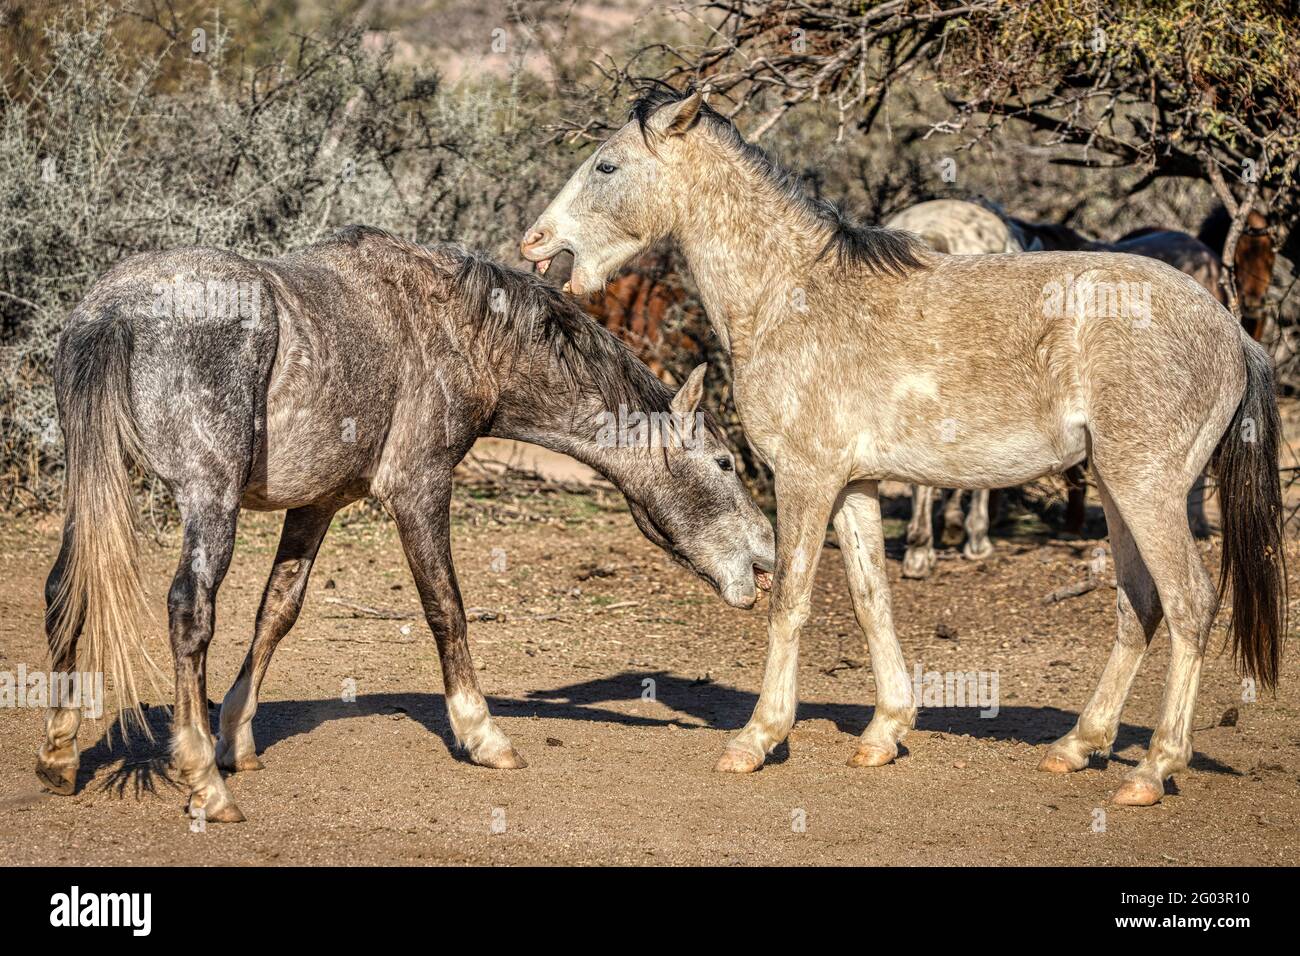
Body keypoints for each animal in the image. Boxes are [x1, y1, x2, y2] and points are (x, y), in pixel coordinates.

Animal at [38, 226, 775, 823]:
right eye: (723, 462)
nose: (769, 557)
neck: (454, 329)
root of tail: (116, 307)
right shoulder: (420, 490)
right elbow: (446, 609)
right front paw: (483, 735)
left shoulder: (318, 505)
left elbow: (277, 611)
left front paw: (236, 738)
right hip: (208, 501)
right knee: (189, 611)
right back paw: (203, 786)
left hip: (94, 487)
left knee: (64, 590)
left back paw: (60, 753)